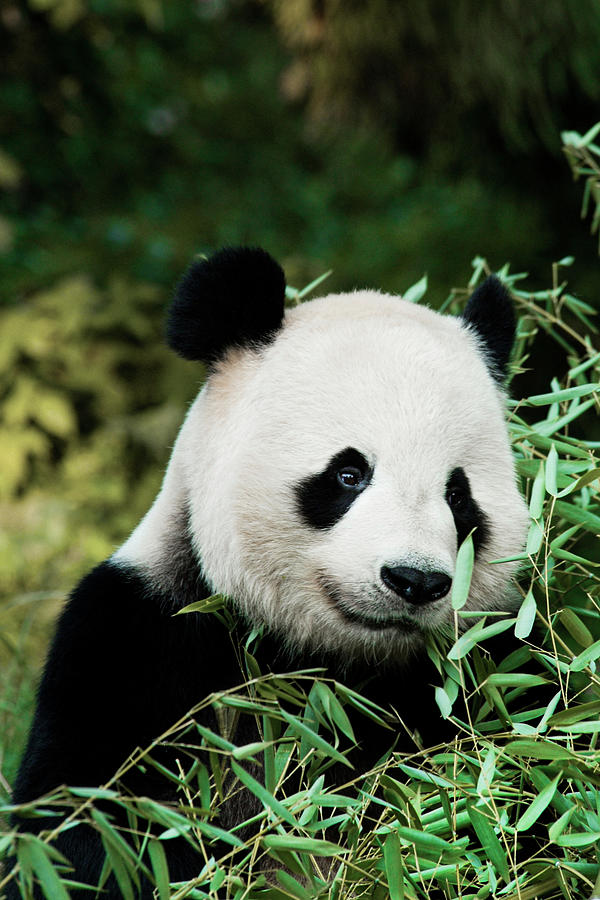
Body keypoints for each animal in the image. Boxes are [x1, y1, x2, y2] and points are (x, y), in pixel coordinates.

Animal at [8, 247, 528, 896]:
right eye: (349, 474)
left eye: (458, 497)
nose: (414, 581)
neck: (327, 664)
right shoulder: (140, 638)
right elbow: (89, 831)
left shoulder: (483, 671)